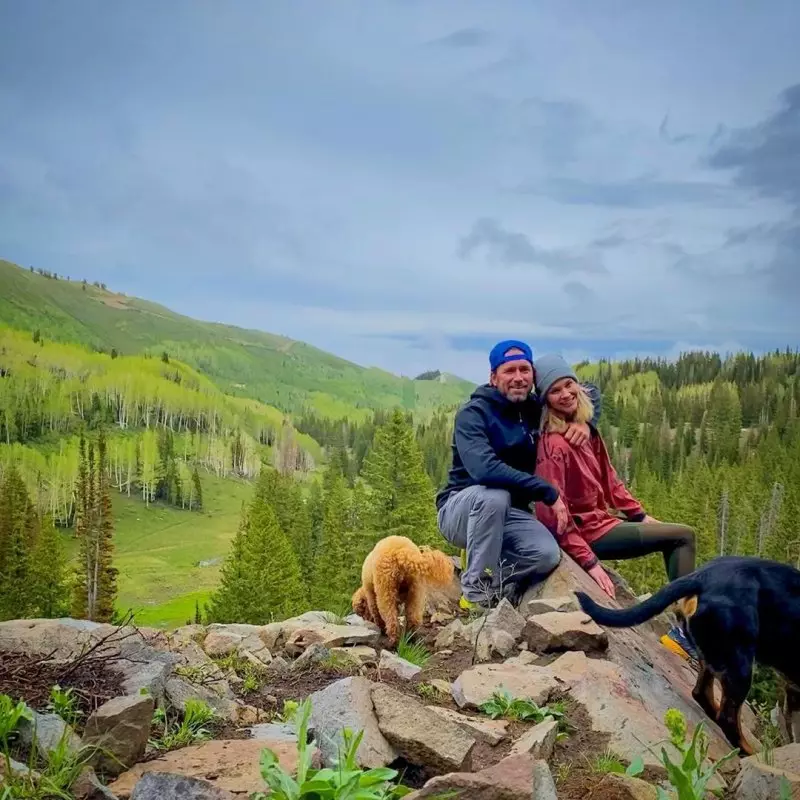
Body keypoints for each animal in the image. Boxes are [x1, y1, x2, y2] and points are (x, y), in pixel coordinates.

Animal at [580, 552, 800, 752]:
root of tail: (702, 576)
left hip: (715, 656)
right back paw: (750, 753)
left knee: (702, 694)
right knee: (727, 718)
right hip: (739, 664)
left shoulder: (793, 691)